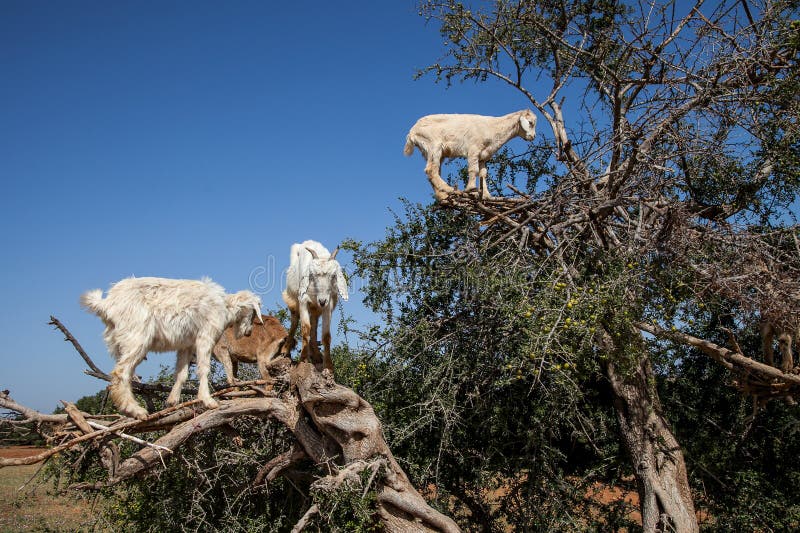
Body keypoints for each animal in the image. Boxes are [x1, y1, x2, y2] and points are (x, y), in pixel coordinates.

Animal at [81, 277, 262, 419]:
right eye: (253, 313)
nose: (249, 332)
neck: (225, 307)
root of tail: (106, 304)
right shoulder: (205, 337)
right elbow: (204, 369)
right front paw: (208, 400)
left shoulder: (186, 345)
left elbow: (181, 373)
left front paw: (172, 401)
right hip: (137, 338)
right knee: (121, 372)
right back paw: (136, 411)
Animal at [281, 240, 348, 373]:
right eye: (312, 275)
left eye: (333, 275)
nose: (322, 300)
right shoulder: (303, 301)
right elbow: (305, 328)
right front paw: (303, 359)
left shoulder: (328, 305)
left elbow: (326, 335)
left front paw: (328, 366)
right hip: (293, 300)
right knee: (295, 322)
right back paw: (286, 351)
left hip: (315, 309)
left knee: (314, 326)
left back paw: (316, 356)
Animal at [404, 109, 537, 200]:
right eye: (530, 122)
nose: (533, 136)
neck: (492, 127)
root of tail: (412, 131)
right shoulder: (473, 150)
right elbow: (473, 170)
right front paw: (472, 190)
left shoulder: (483, 156)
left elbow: (483, 174)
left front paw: (486, 195)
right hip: (433, 146)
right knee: (430, 170)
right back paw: (449, 189)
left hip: (435, 152)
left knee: (435, 172)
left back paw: (442, 196)